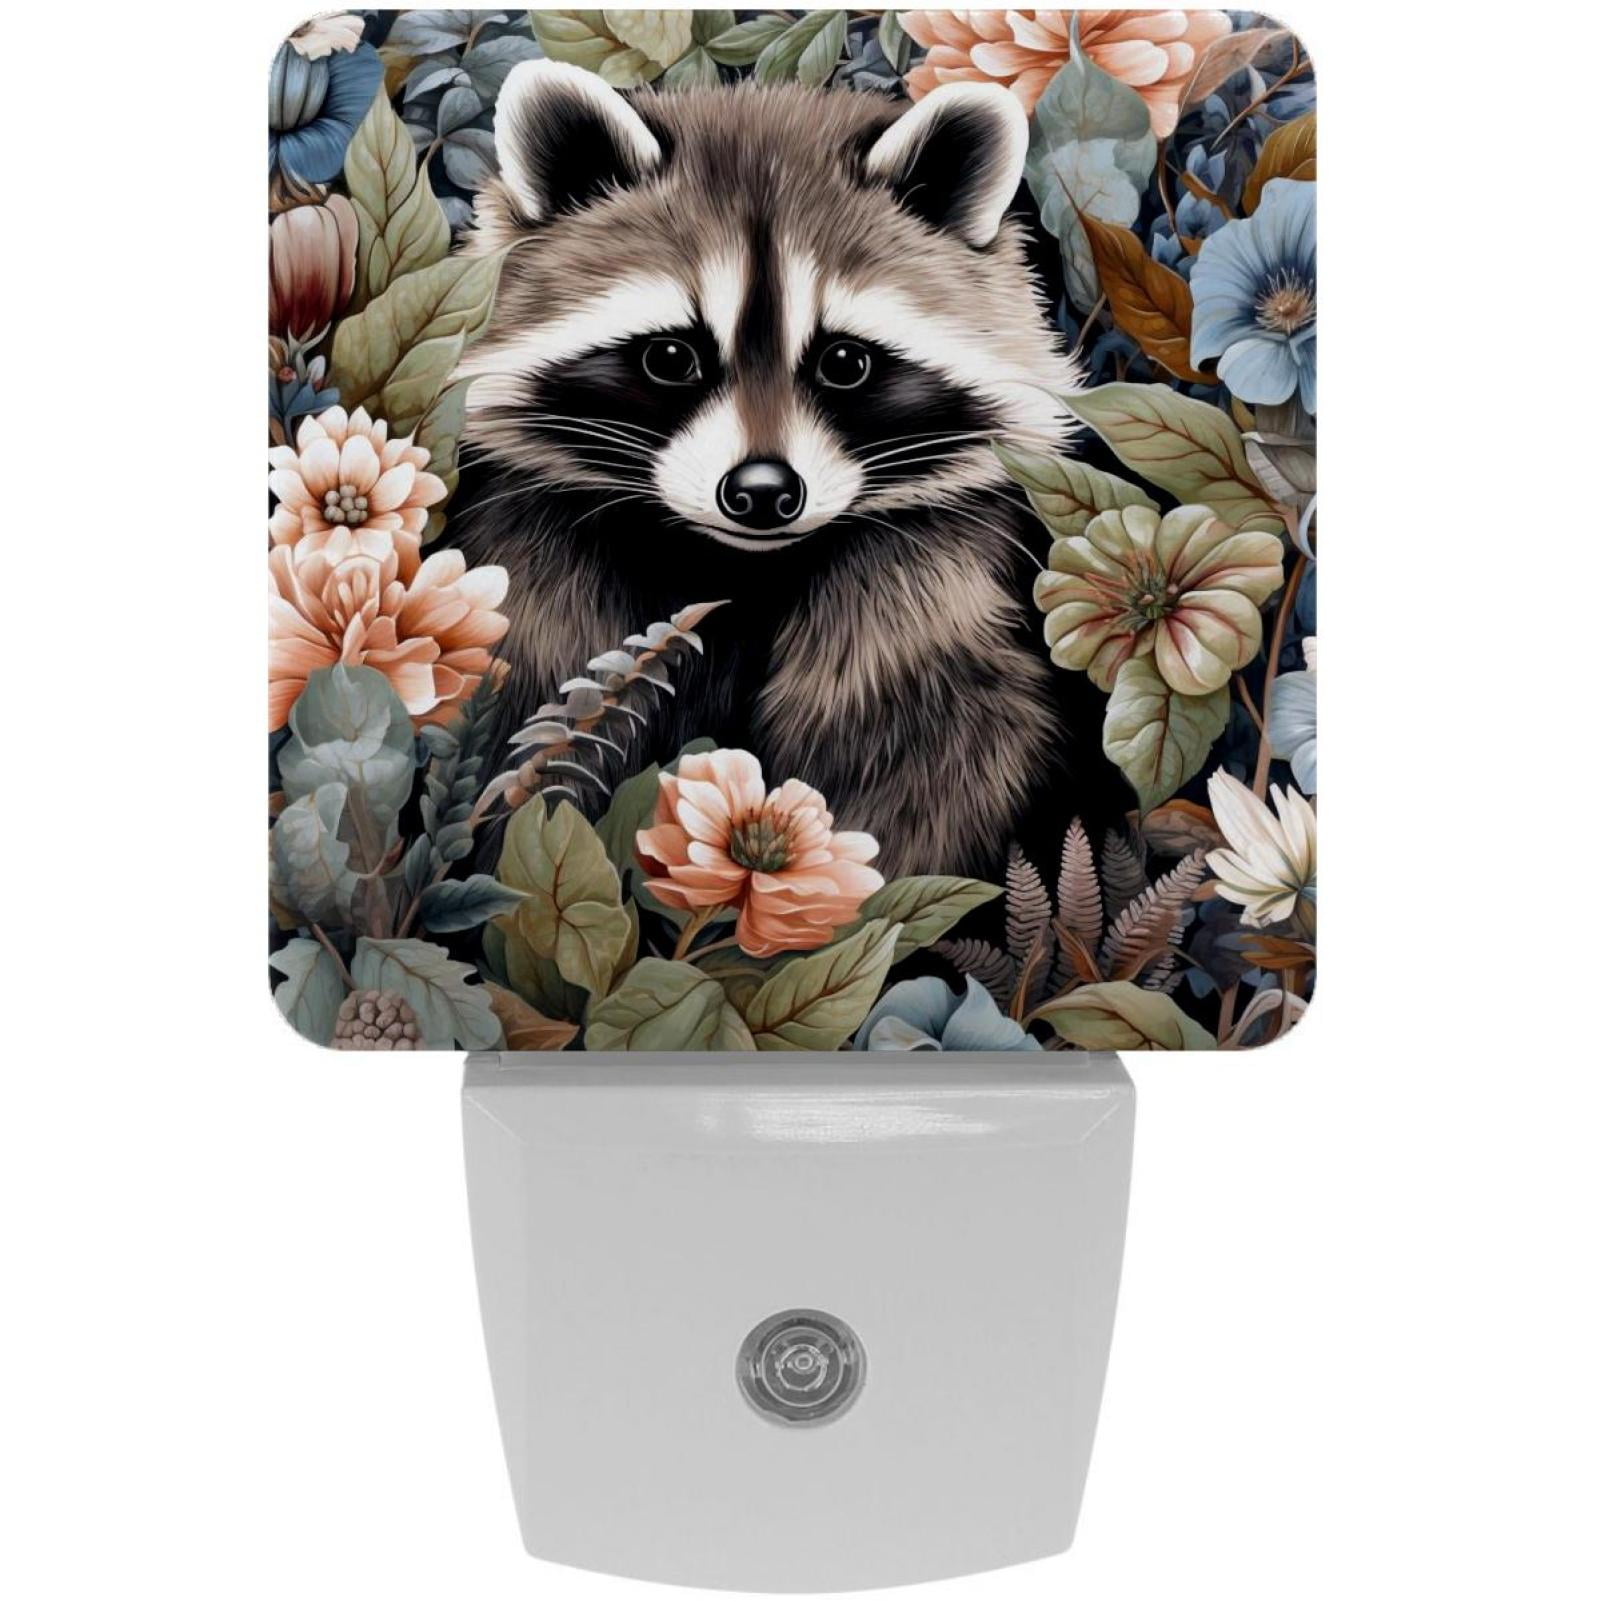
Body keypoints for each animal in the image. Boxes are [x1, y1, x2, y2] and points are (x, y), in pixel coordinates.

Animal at [449, 59, 1130, 879]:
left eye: (845, 362)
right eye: (671, 356)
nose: (762, 493)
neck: (739, 571)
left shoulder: (933, 584)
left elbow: (933, 756)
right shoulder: (543, 569)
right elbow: (533, 732)